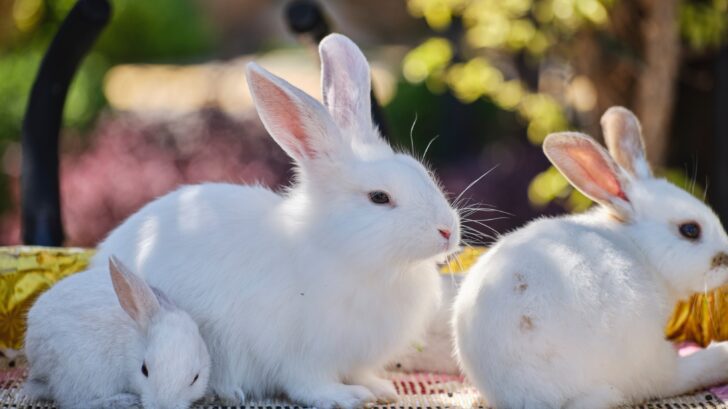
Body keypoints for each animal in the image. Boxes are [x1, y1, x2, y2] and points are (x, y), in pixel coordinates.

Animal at [24, 256, 211, 409]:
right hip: (81, 372)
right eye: (144, 370)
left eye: (195, 378)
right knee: (74, 402)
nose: (162, 406)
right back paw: (123, 401)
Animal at [90, 33, 461, 409]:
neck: (343, 252)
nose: (448, 230)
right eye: (379, 197)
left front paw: (380, 389)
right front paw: (345, 396)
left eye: (422, 172)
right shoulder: (300, 352)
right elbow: (308, 383)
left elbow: (359, 373)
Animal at [453, 107, 728, 409]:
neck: (640, 248)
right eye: (690, 230)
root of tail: (527, 396)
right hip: (646, 354)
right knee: (675, 377)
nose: (726, 258)